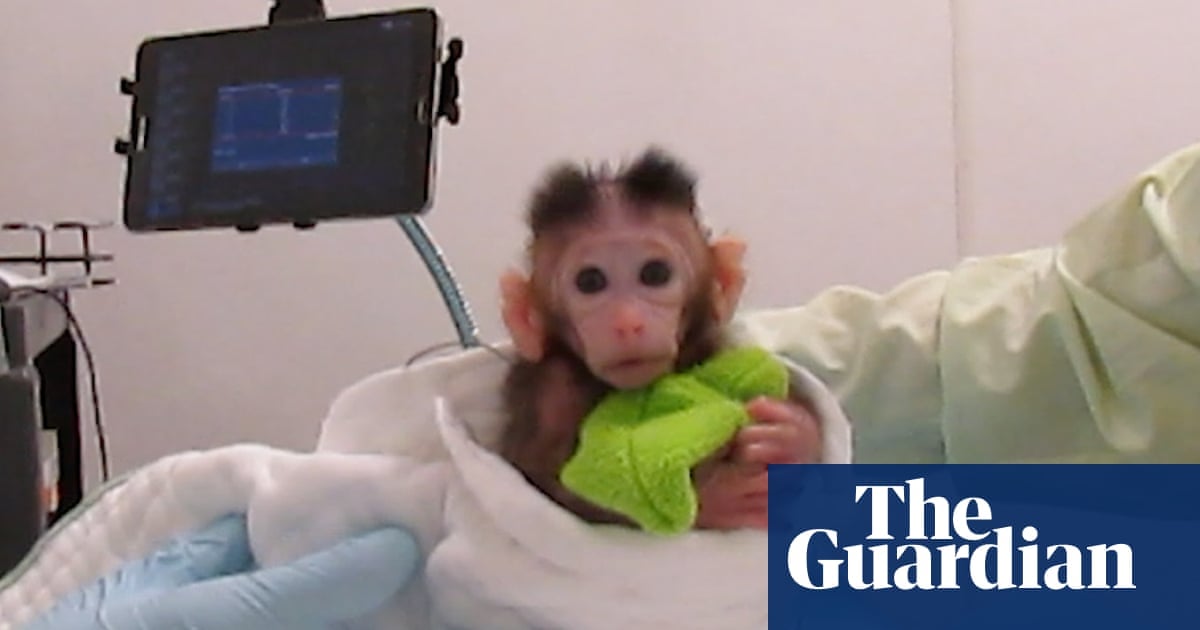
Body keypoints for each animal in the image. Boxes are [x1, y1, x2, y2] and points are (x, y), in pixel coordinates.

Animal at [496, 147, 811, 530]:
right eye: (590, 281)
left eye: (655, 274)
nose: (627, 322)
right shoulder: (551, 387)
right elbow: (543, 481)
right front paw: (715, 498)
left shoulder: (717, 347)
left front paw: (793, 437)